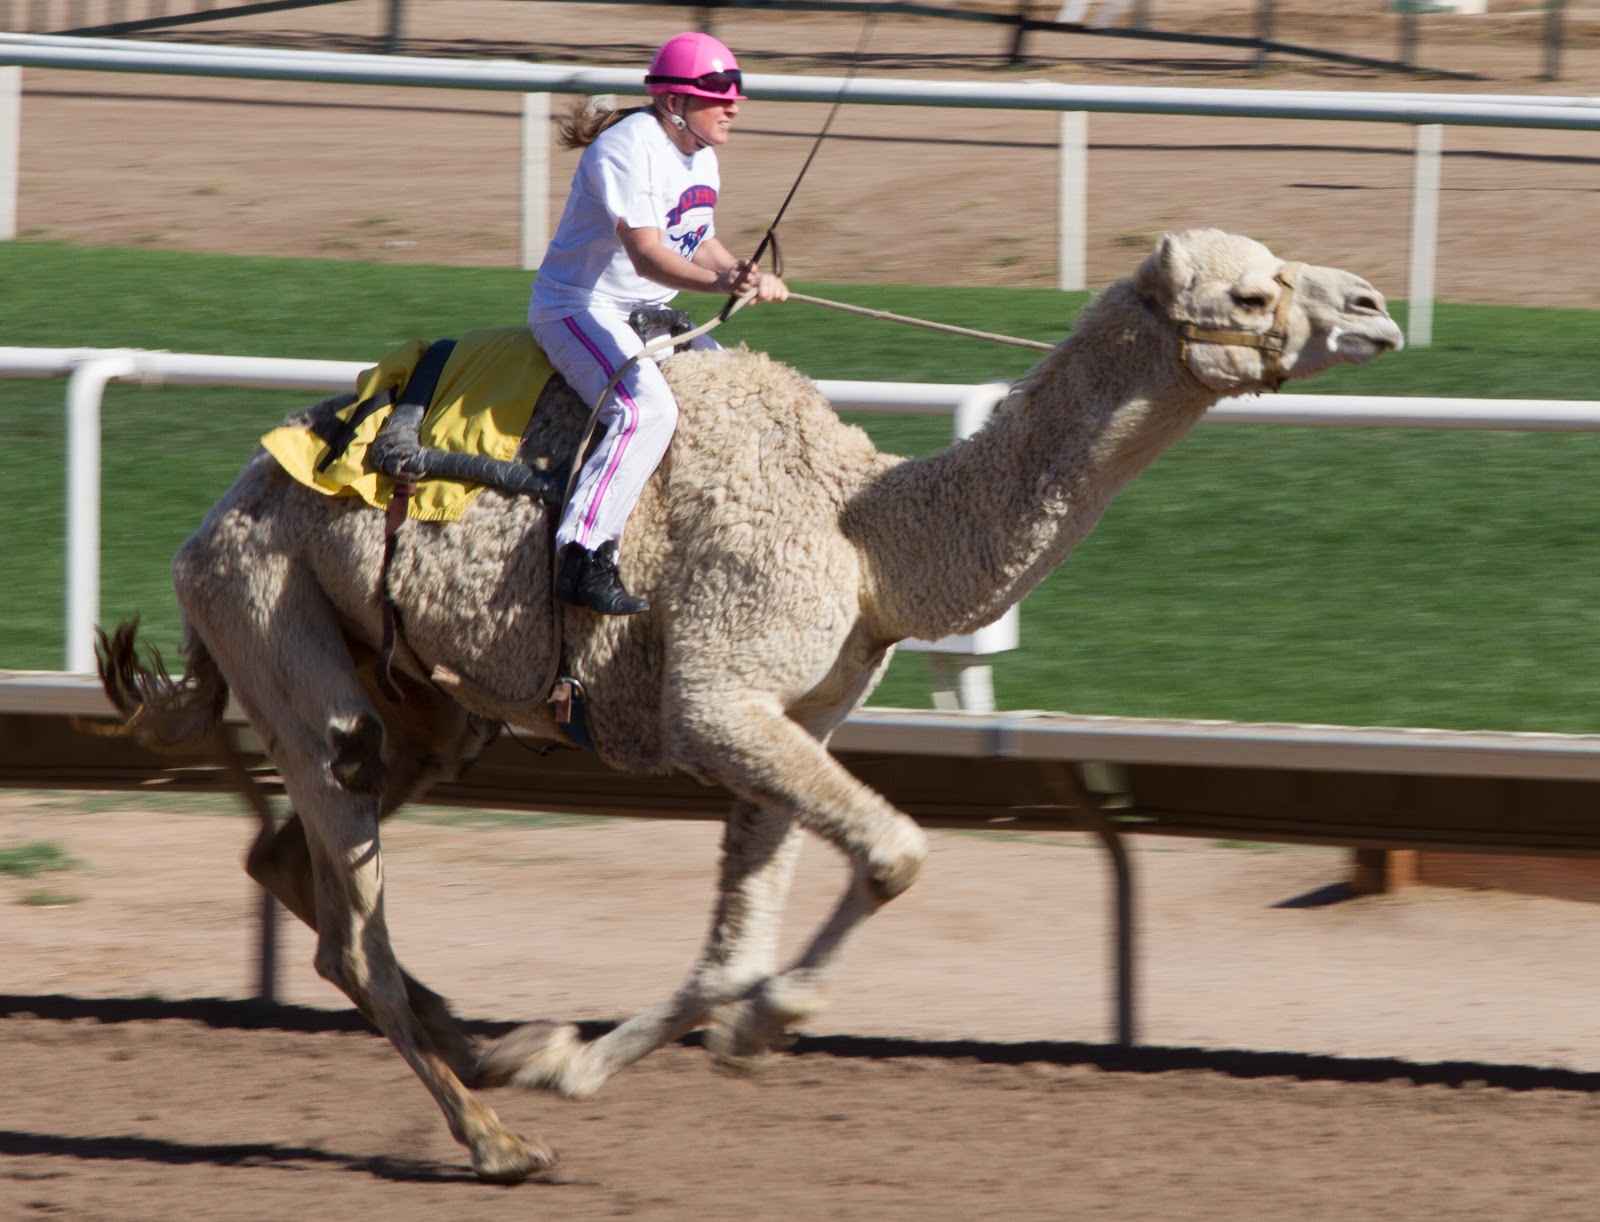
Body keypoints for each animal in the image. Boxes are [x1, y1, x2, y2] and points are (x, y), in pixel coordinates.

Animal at [96, 229, 1402, 1183]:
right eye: (1251, 289)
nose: (1377, 307)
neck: (865, 535)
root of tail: (211, 521)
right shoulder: (718, 700)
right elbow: (894, 852)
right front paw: (754, 1022)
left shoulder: (792, 720)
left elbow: (739, 938)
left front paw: (593, 1049)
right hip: (275, 617)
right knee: (347, 919)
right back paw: (497, 1140)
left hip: (418, 699)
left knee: (290, 857)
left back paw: (488, 1048)